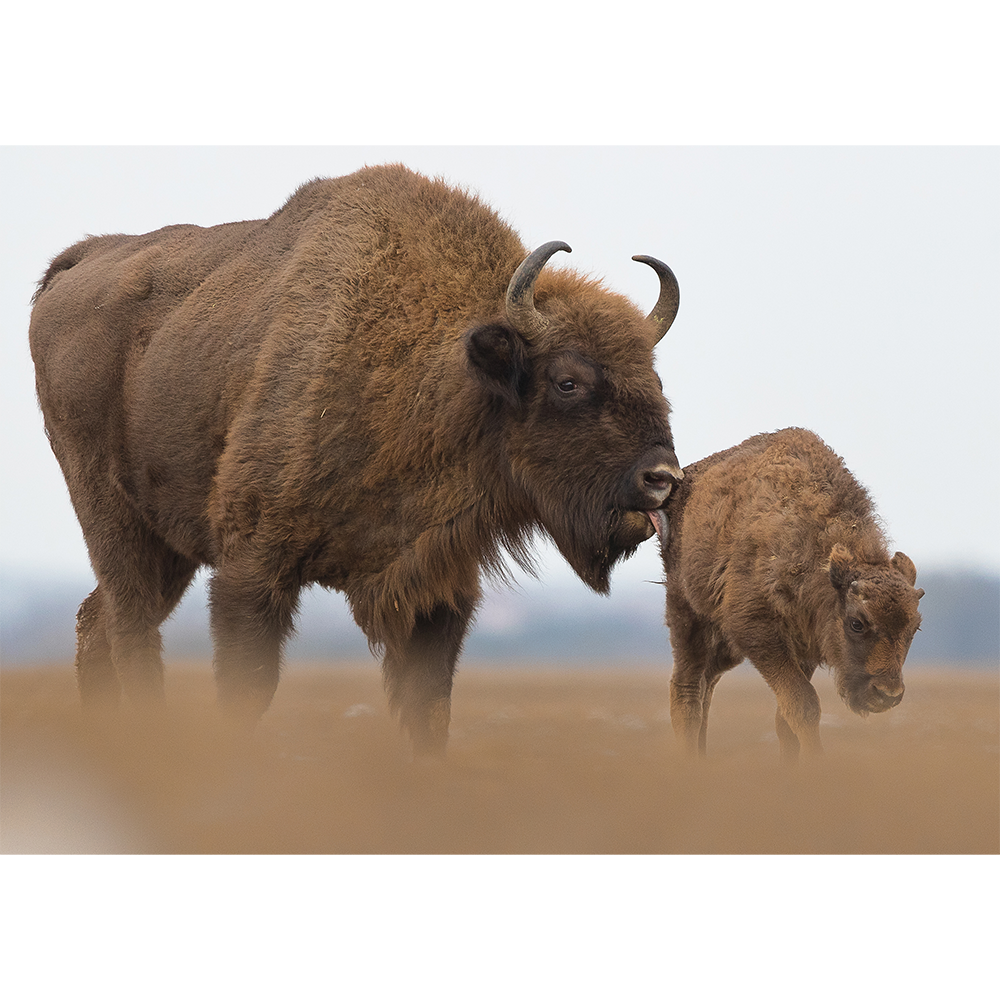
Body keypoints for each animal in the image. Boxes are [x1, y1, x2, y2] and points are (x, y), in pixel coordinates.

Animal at [29, 163, 682, 754]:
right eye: (567, 381)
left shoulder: (434, 590)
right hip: (114, 519)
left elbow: (427, 709)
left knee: (95, 622)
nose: (663, 479)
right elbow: (246, 691)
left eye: (654, 377)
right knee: (130, 629)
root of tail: (76, 263)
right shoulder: (251, 571)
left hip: (168, 546)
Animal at [651, 427, 923, 760]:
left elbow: (786, 718)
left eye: (914, 628)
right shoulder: (757, 632)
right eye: (857, 623)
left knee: (707, 683)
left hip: (725, 646)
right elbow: (804, 704)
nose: (887, 695)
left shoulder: (805, 645)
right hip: (688, 615)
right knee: (687, 689)